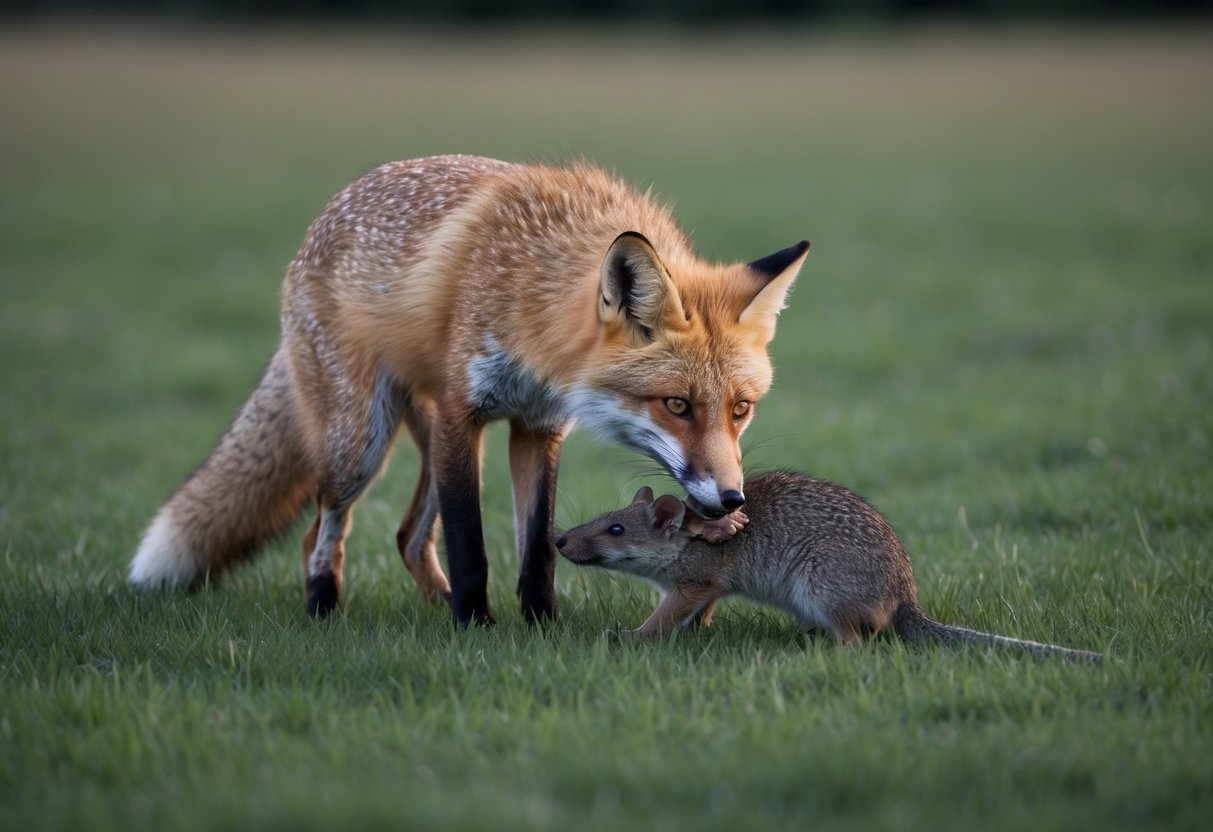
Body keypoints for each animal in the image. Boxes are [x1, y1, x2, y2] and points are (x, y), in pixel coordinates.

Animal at [129, 155, 810, 625]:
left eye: (741, 409)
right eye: (676, 405)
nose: (731, 500)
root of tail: (326, 215)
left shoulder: (538, 427)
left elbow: (537, 550)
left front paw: (542, 627)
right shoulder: (466, 415)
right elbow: (471, 546)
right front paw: (475, 627)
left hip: (422, 441)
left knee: (406, 537)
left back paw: (433, 601)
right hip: (361, 445)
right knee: (320, 531)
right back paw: (326, 609)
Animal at [555, 471, 1102, 662]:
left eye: (615, 530)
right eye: (602, 520)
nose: (557, 539)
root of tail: (906, 600)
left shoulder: (694, 583)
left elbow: (663, 618)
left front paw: (631, 637)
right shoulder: (707, 590)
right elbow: (696, 615)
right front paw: (694, 633)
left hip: (820, 586)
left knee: (857, 643)